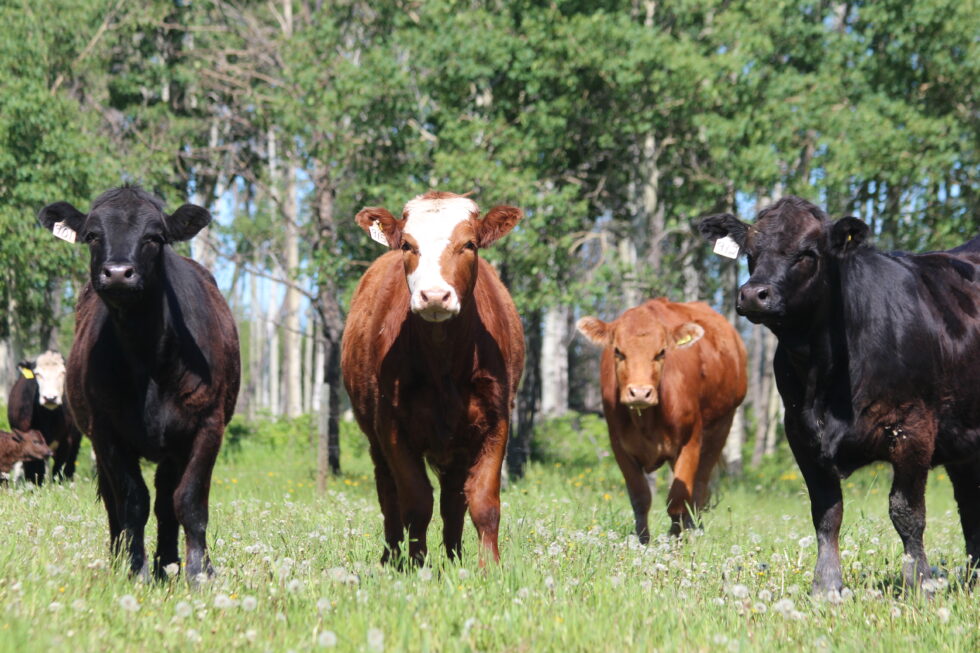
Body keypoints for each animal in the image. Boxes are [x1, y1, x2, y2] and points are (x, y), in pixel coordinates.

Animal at [7, 351, 81, 483]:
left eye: (63, 372)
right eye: (37, 374)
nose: (50, 398)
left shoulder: (66, 441)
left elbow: (59, 469)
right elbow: (35, 471)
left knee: (69, 465)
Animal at [37, 186, 240, 581]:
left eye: (155, 237)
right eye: (92, 235)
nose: (118, 273)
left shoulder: (207, 425)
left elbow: (188, 501)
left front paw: (199, 572)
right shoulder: (106, 432)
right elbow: (132, 501)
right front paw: (136, 570)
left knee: (166, 500)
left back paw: (169, 561)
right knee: (116, 501)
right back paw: (128, 558)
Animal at [342, 191, 525, 567]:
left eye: (469, 244)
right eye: (407, 245)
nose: (435, 296)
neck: (445, 365)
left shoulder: (496, 421)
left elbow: (483, 502)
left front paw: (490, 567)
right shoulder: (392, 427)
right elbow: (415, 502)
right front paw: (416, 565)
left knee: (454, 500)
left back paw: (454, 557)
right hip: (374, 437)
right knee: (389, 495)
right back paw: (391, 557)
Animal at [577, 299, 747, 541]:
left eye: (661, 352)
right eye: (618, 351)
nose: (639, 392)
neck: (646, 421)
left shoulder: (691, 441)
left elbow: (677, 499)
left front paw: (675, 539)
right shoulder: (619, 446)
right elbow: (640, 497)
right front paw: (642, 541)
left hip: (721, 428)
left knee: (699, 489)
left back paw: (694, 531)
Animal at [699, 196, 980, 594]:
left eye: (807, 252)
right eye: (750, 252)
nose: (754, 294)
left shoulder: (913, 426)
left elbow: (907, 512)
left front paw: (918, 583)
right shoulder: (800, 433)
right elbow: (826, 512)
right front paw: (827, 585)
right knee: (970, 503)